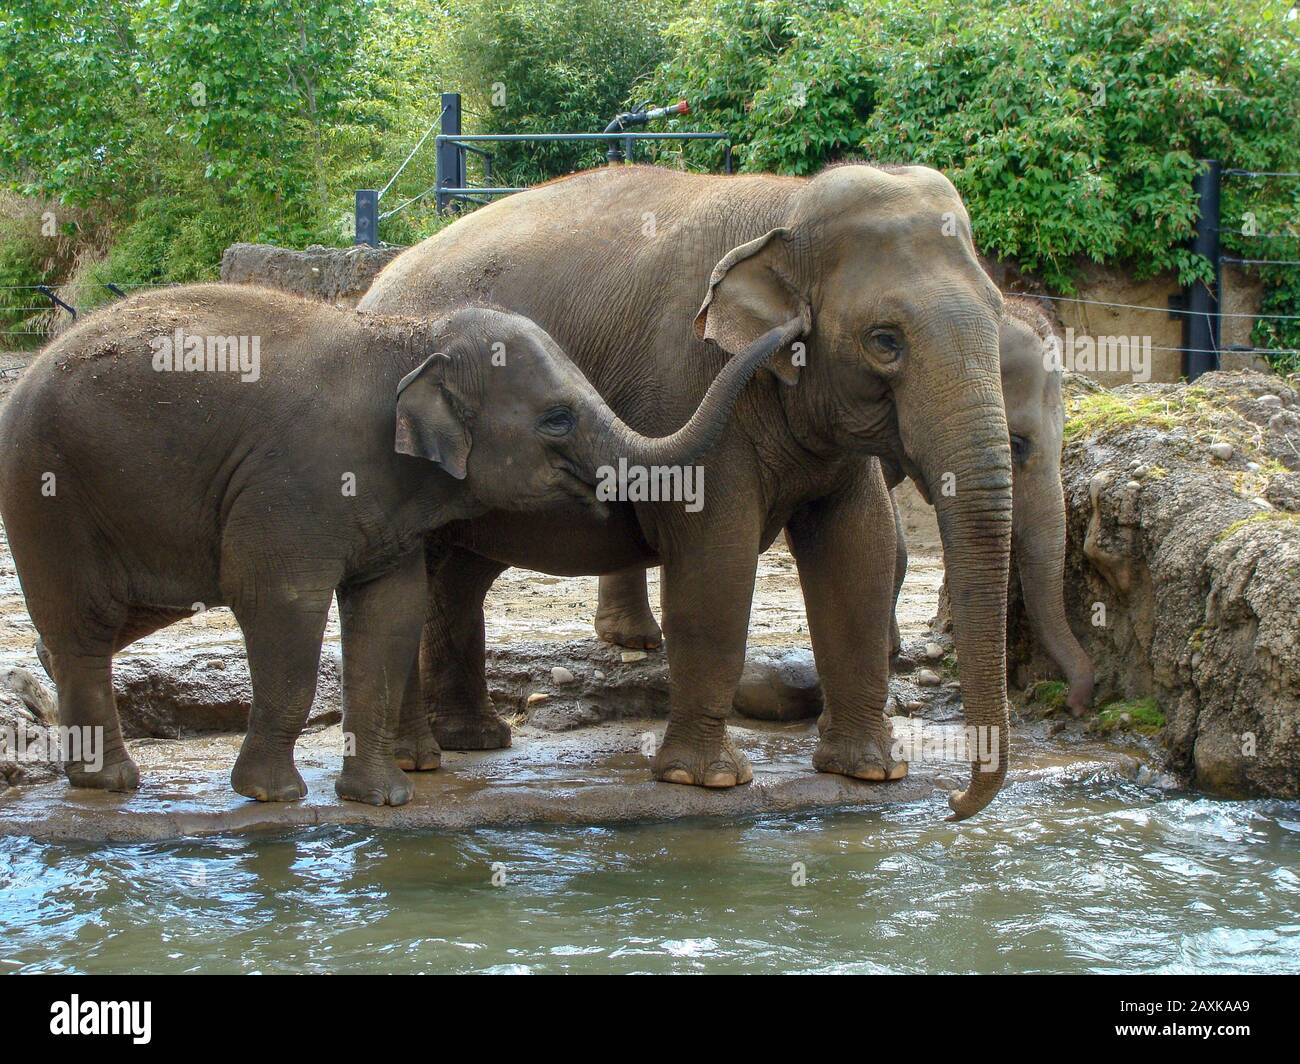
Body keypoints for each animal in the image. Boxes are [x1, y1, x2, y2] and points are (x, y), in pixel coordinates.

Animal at [0, 283, 792, 805]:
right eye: (558, 419)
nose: (795, 332)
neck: (412, 337)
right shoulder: (295, 484)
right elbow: (280, 603)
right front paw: (274, 797)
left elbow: (391, 612)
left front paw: (380, 799)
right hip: (47, 489)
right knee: (85, 622)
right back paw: (110, 780)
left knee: (114, 616)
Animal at [360, 162, 1015, 819]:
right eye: (885, 340)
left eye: (998, 315)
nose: (955, 801)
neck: (789, 207)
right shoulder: (687, 381)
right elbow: (714, 562)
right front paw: (707, 780)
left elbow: (859, 551)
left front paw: (873, 773)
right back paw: (422, 758)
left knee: (459, 575)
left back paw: (471, 740)